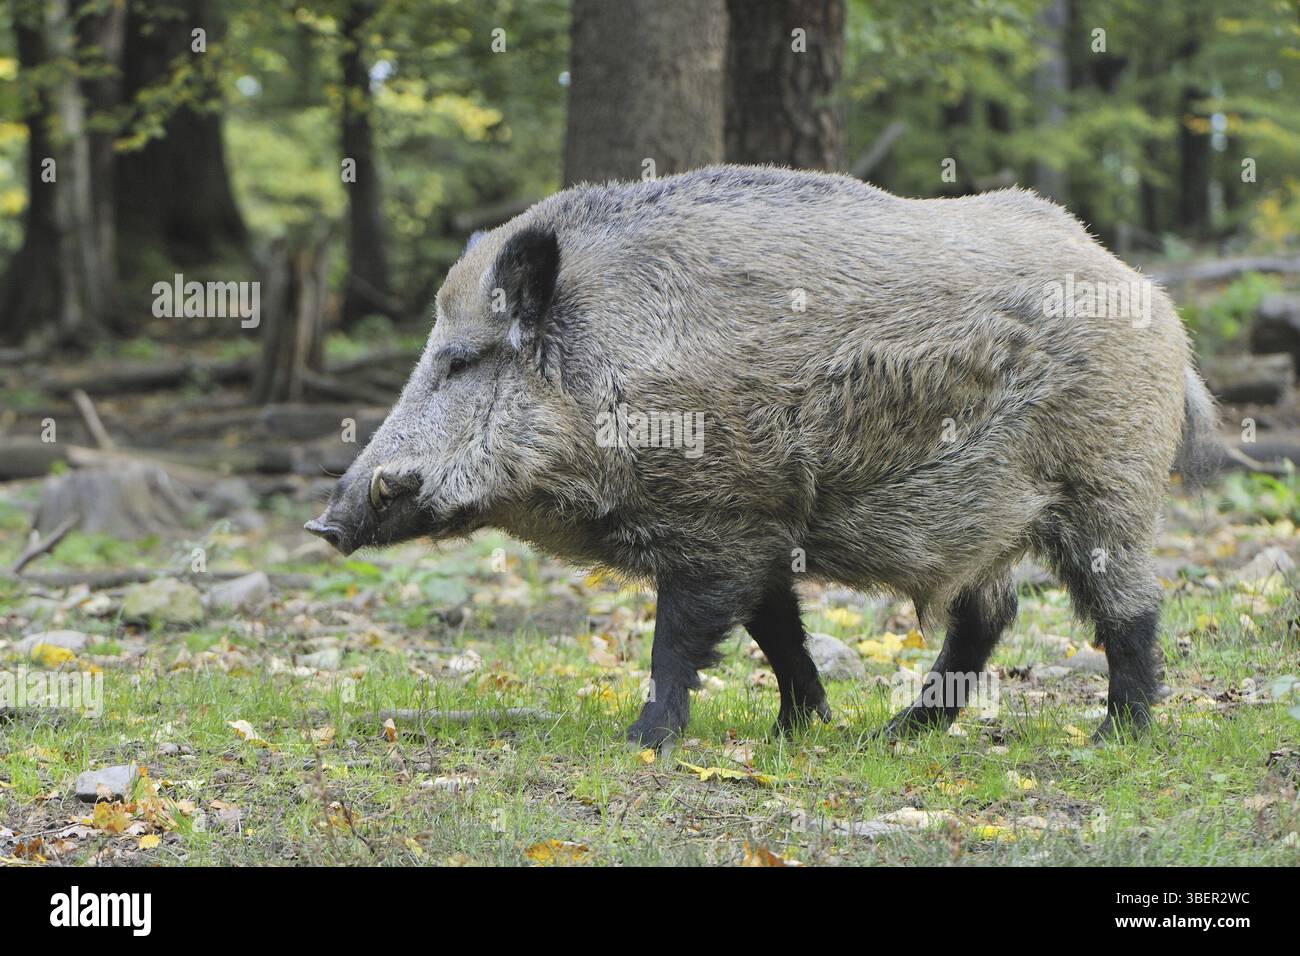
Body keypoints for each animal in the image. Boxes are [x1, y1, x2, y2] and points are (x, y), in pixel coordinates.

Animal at [306, 164, 1217, 747]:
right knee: (989, 617)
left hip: (1107, 484)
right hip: (994, 516)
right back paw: (897, 735)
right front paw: (799, 729)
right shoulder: (757, 531)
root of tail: (1151, 295)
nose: (327, 522)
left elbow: (683, 637)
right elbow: (776, 631)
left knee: (1130, 608)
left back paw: (1116, 739)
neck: (607, 374)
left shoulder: (719, 520)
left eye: (462, 361)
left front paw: (644, 742)